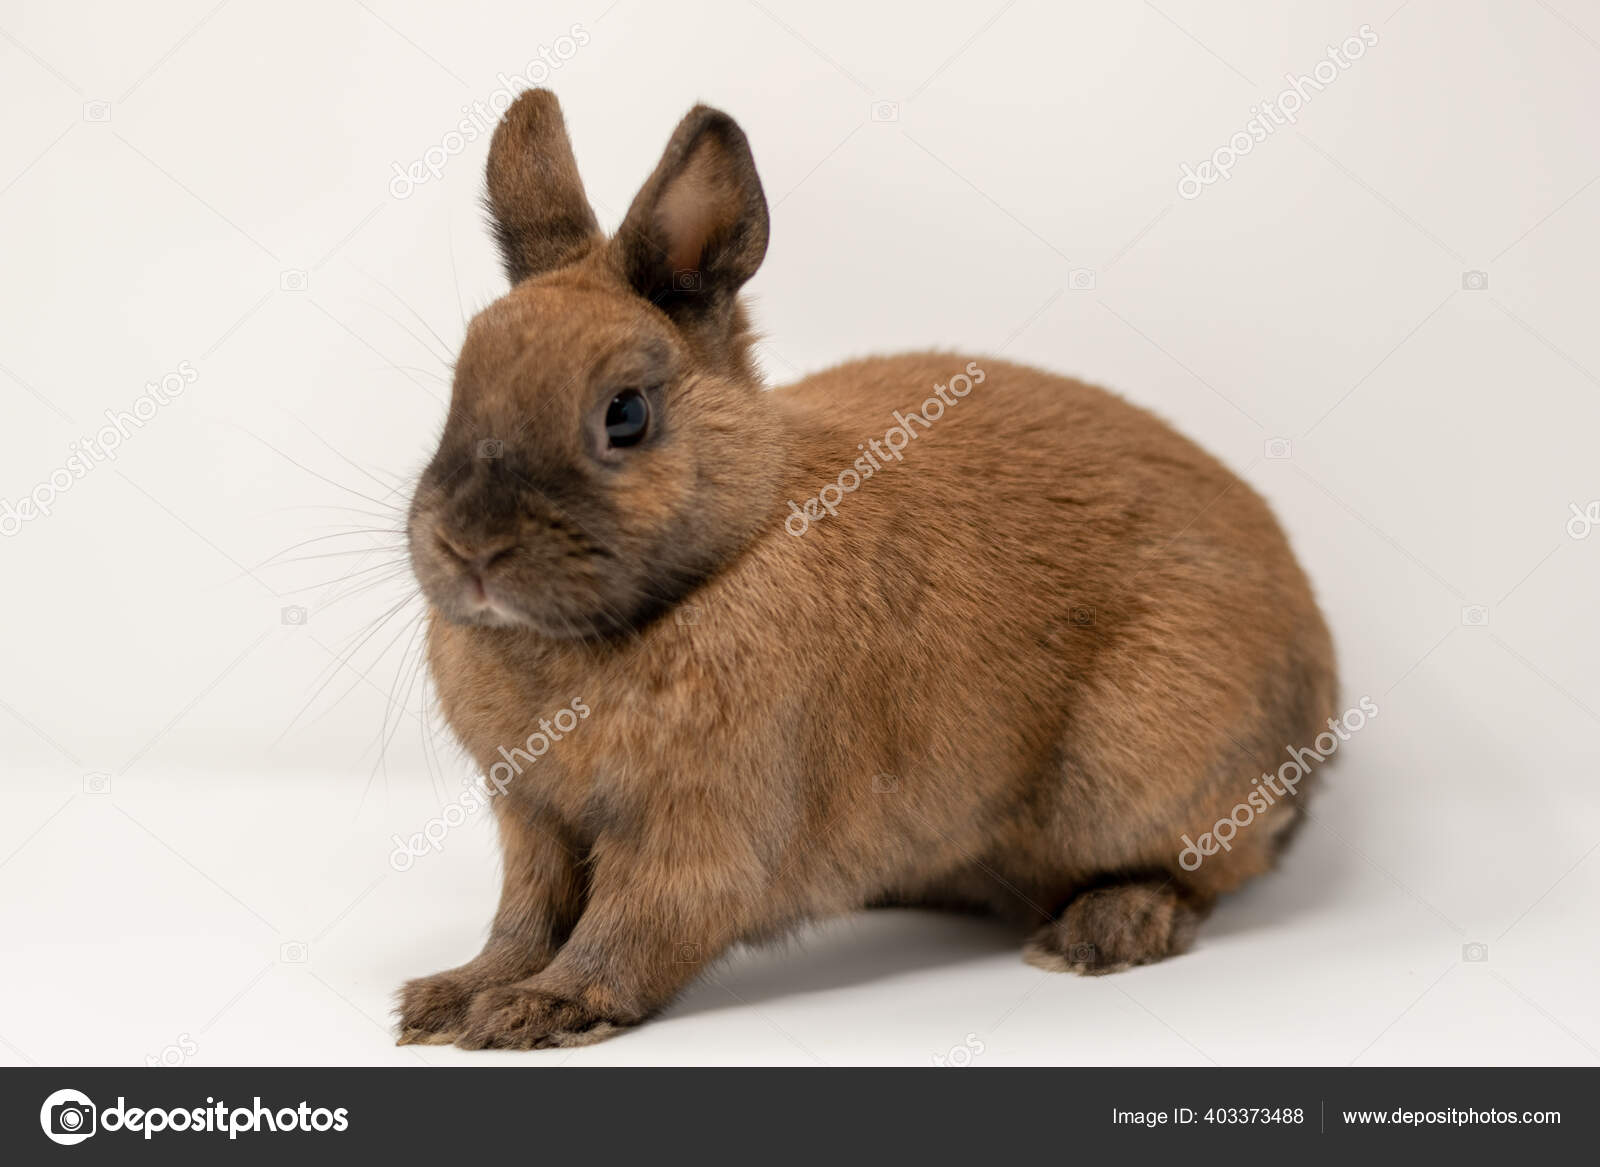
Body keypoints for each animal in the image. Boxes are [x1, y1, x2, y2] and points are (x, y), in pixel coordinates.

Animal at [396, 89, 1338, 1050]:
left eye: (625, 414)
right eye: (458, 388)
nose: (471, 547)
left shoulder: (700, 831)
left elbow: (629, 930)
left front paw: (537, 1011)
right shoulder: (535, 821)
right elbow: (524, 919)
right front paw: (447, 999)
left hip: (1134, 777)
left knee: (1202, 874)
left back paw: (1101, 932)